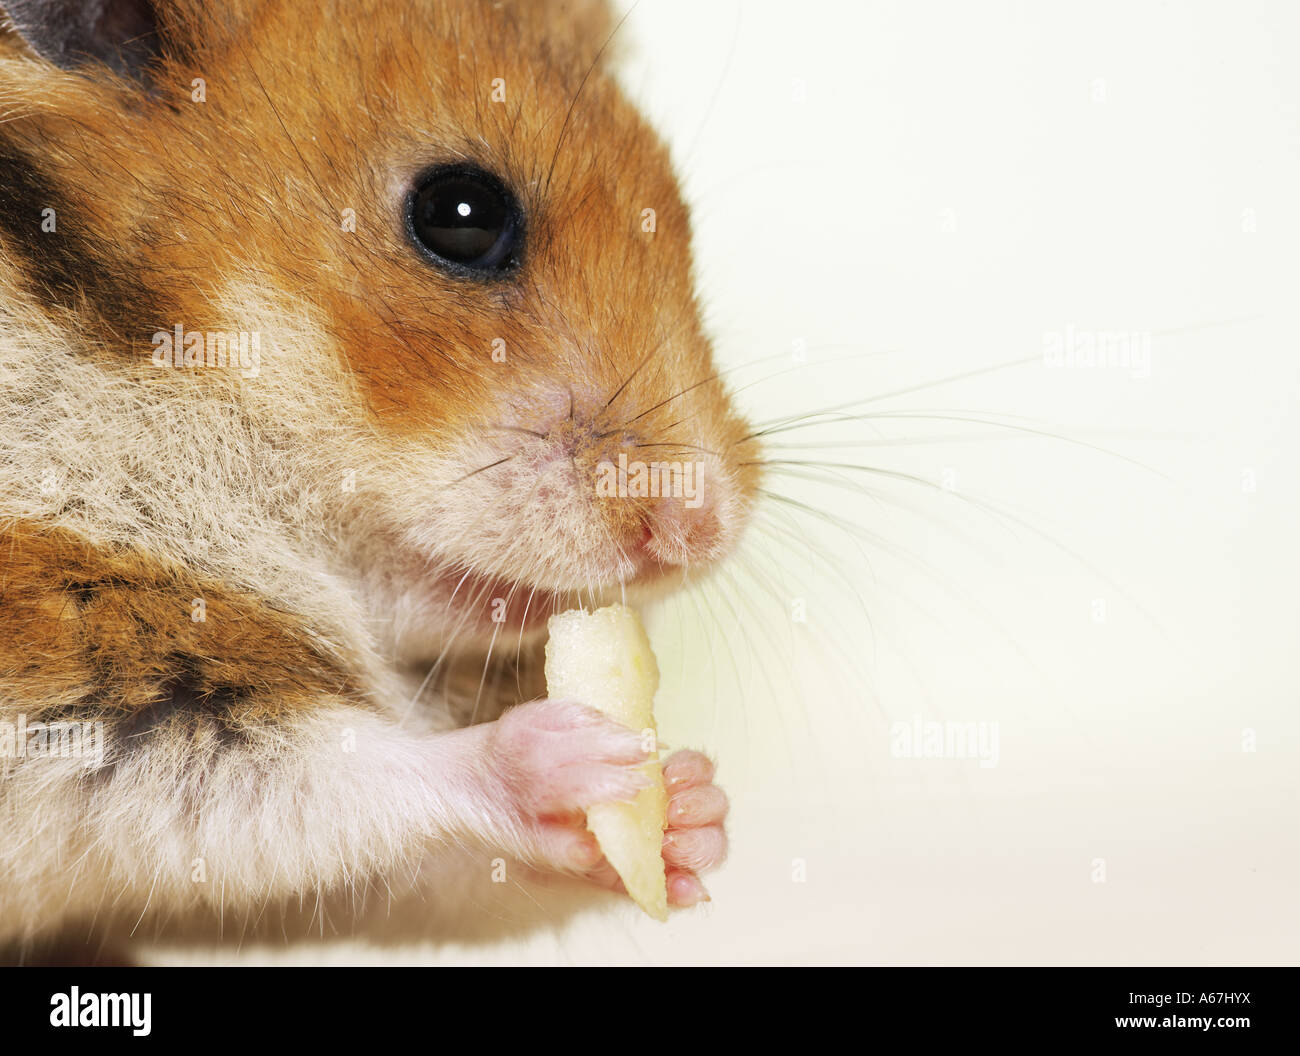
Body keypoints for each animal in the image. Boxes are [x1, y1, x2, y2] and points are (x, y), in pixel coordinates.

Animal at [0, 0, 759, 956]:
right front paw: (571, 757)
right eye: (460, 214)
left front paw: (696, 805)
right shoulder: (73, 679)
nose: (702, 531)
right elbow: (322, 775)